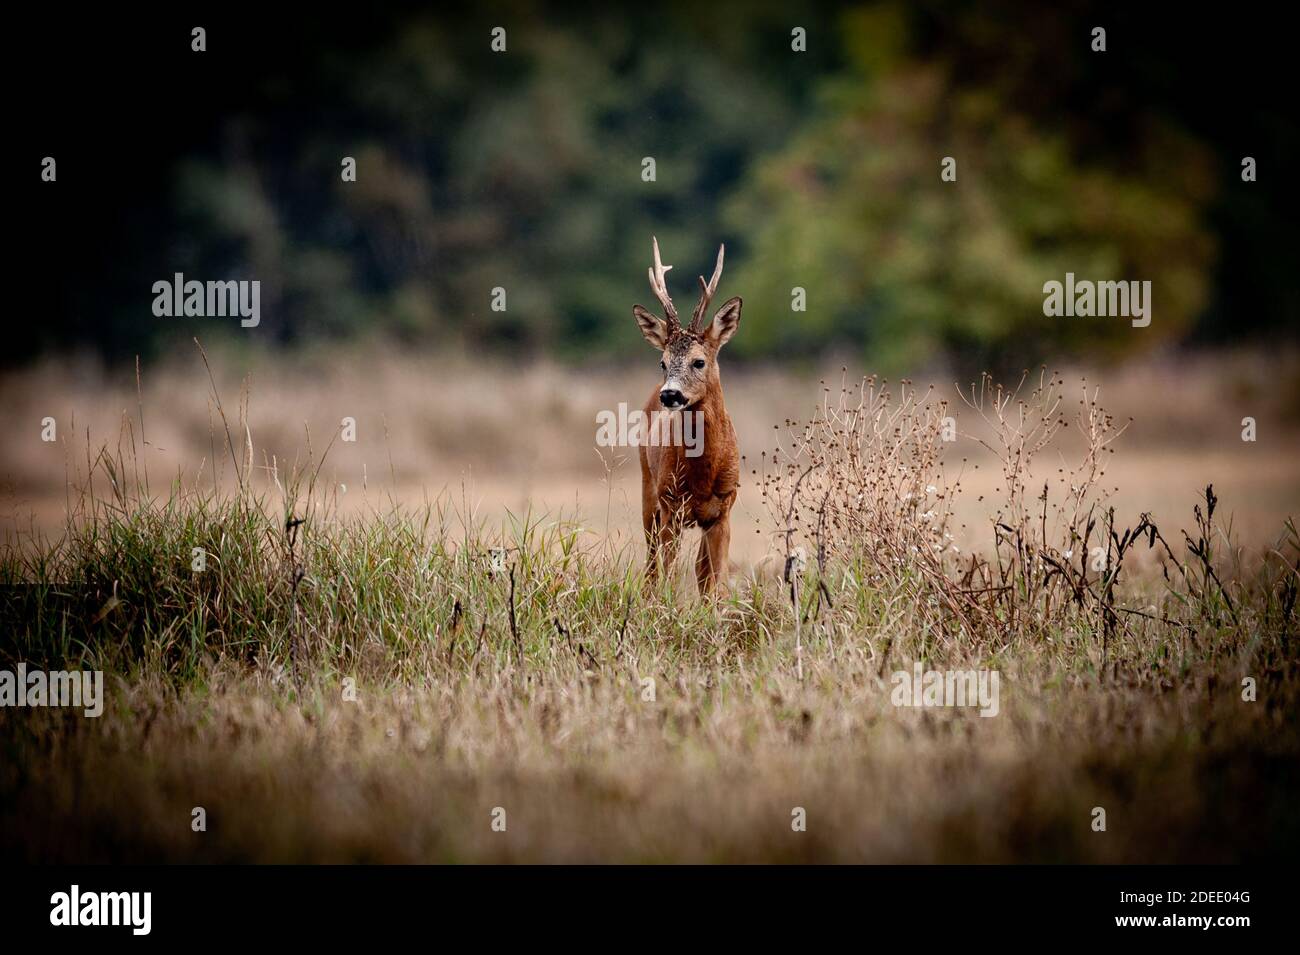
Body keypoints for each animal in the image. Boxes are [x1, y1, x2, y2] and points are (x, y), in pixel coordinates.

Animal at [632, 236, 742, 595]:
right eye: (663, 362)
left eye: (699, 361)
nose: (671, 395)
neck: (703, 477)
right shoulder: (672, 507)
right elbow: (667, 574)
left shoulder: (723, 510)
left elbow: (714, 580)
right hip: (648, 489)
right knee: (652, 566)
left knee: (699, 570)